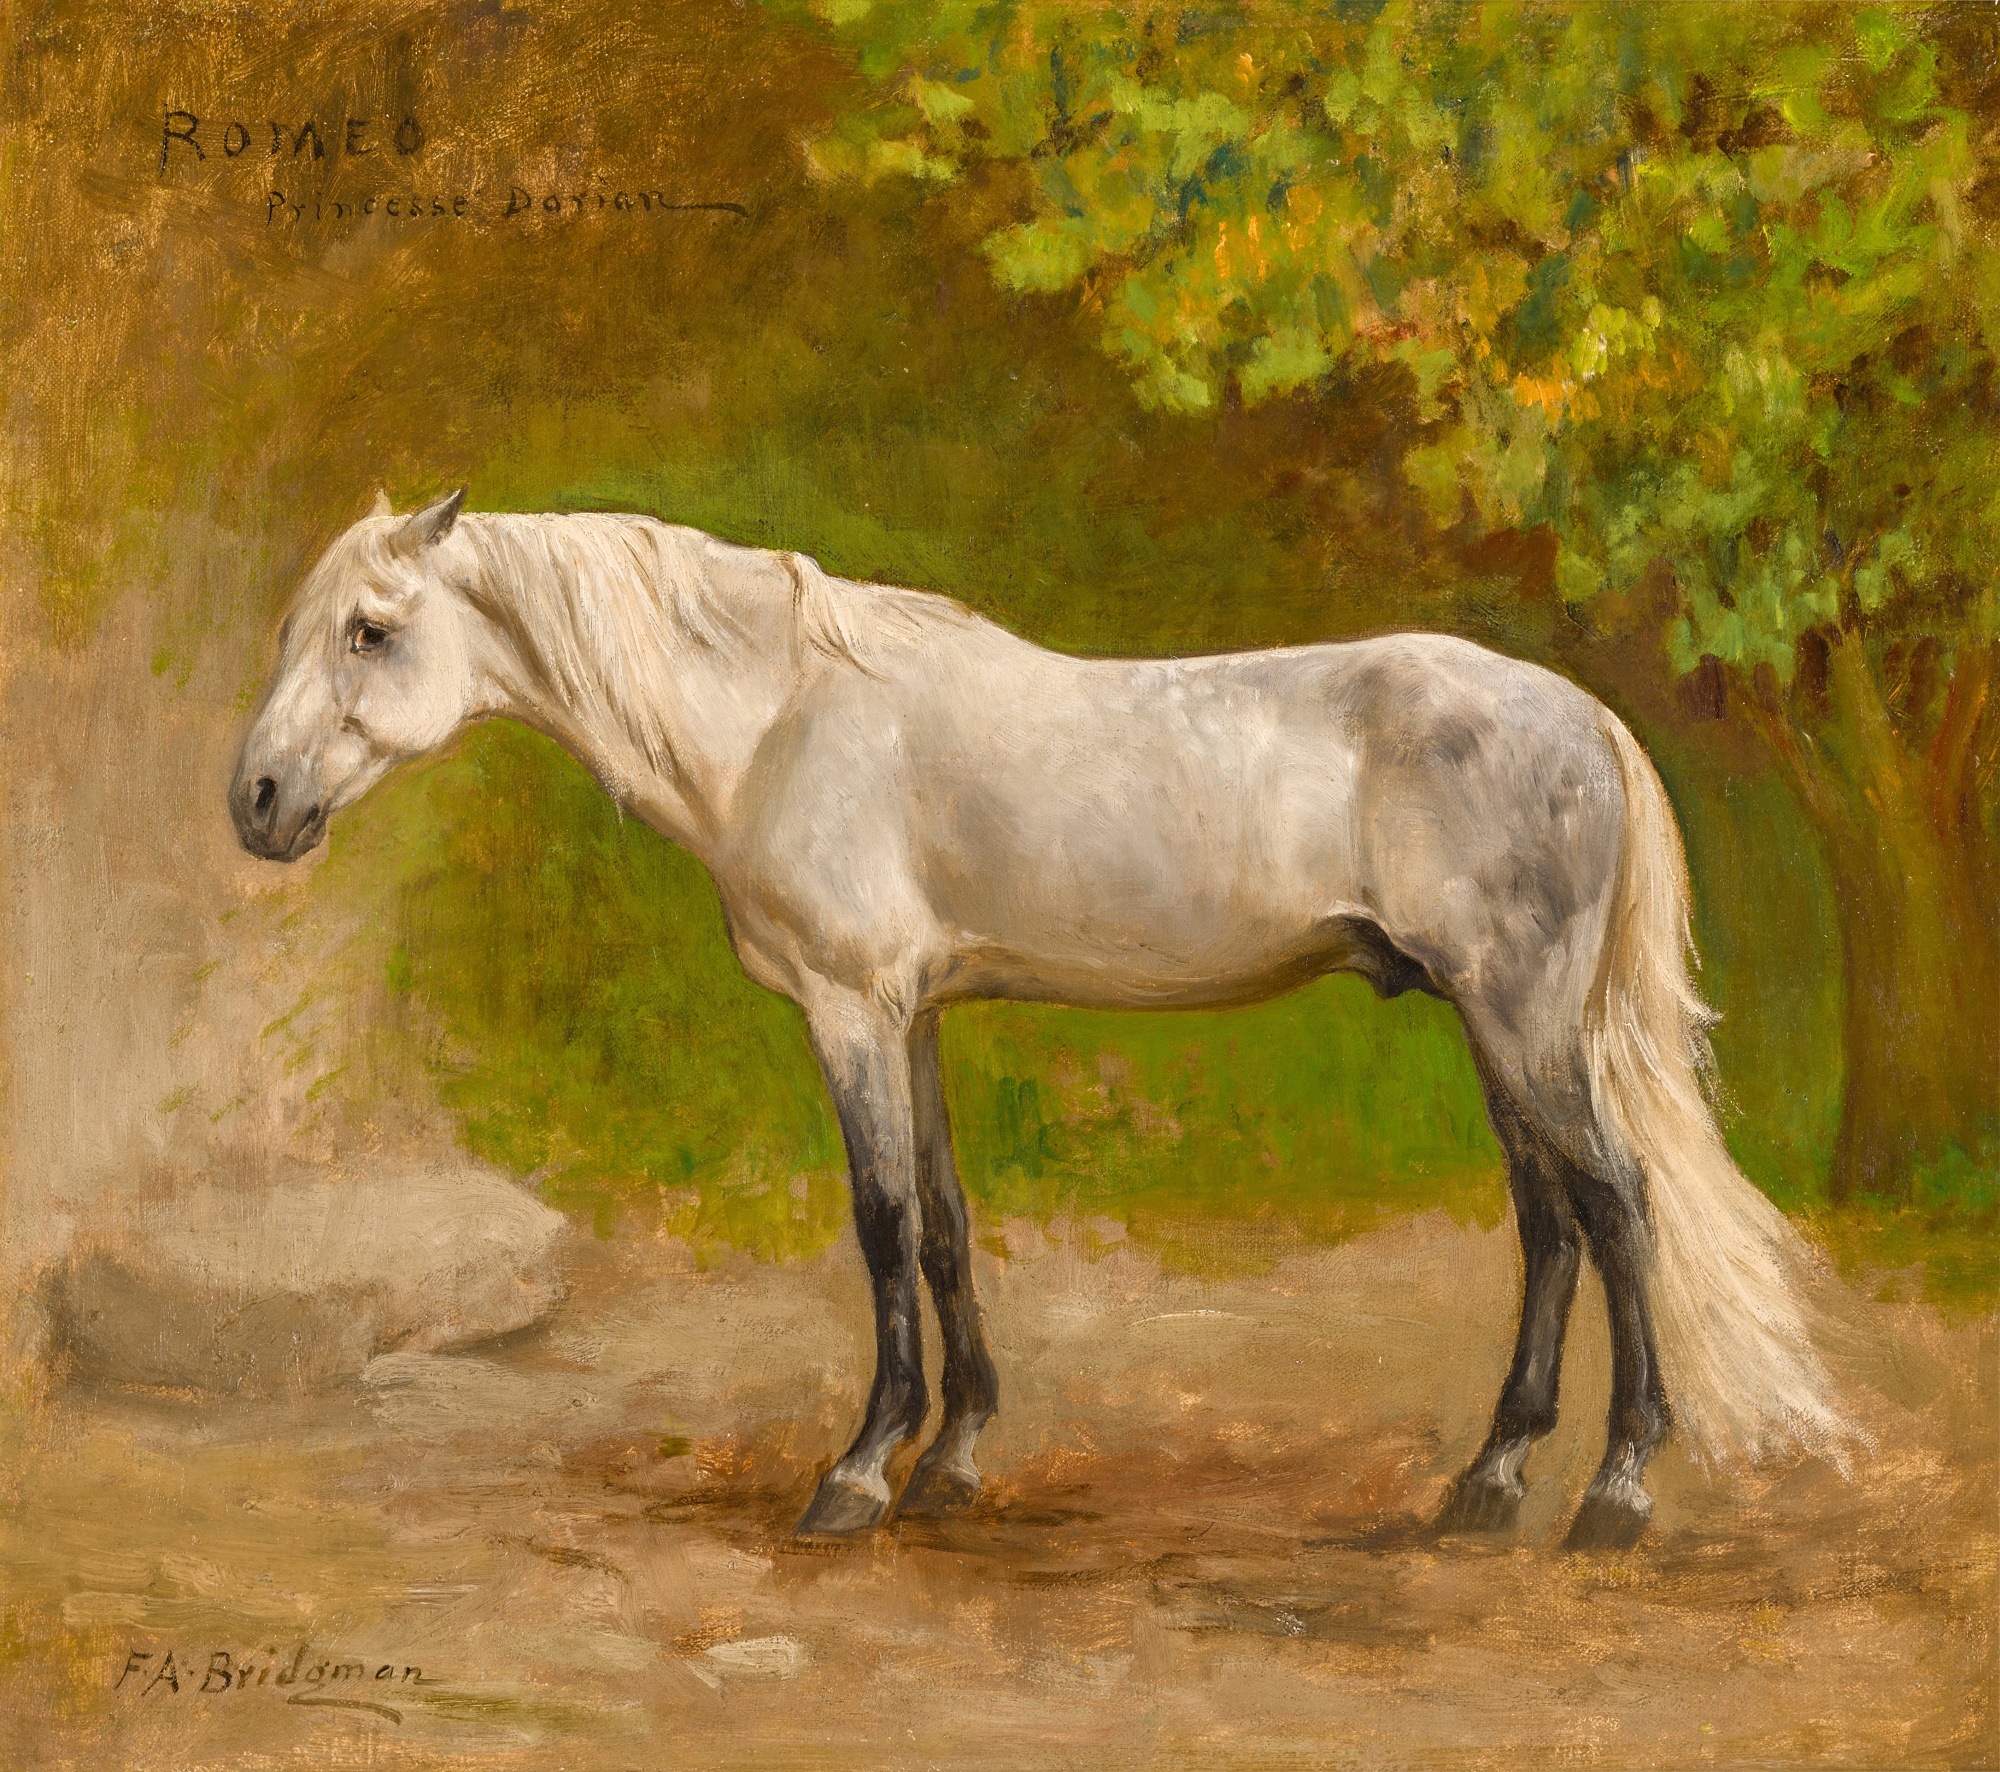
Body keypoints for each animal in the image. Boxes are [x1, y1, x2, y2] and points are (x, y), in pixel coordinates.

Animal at [230, 489, 1850, 1546]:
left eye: (370, 631)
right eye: (304, 625)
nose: (255, 801)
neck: (776, 718)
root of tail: (1585, 718)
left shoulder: (851, 1009)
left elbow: (881, 1221)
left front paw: (859, 1474)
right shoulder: (914, 1014)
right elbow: (947, 1221)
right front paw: (954, 1459)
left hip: (1518, 1017)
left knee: (1614, 1206)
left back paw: (1613, 1496)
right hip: (1496, 1025)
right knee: (1551, 1220)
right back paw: (1486, 1485)